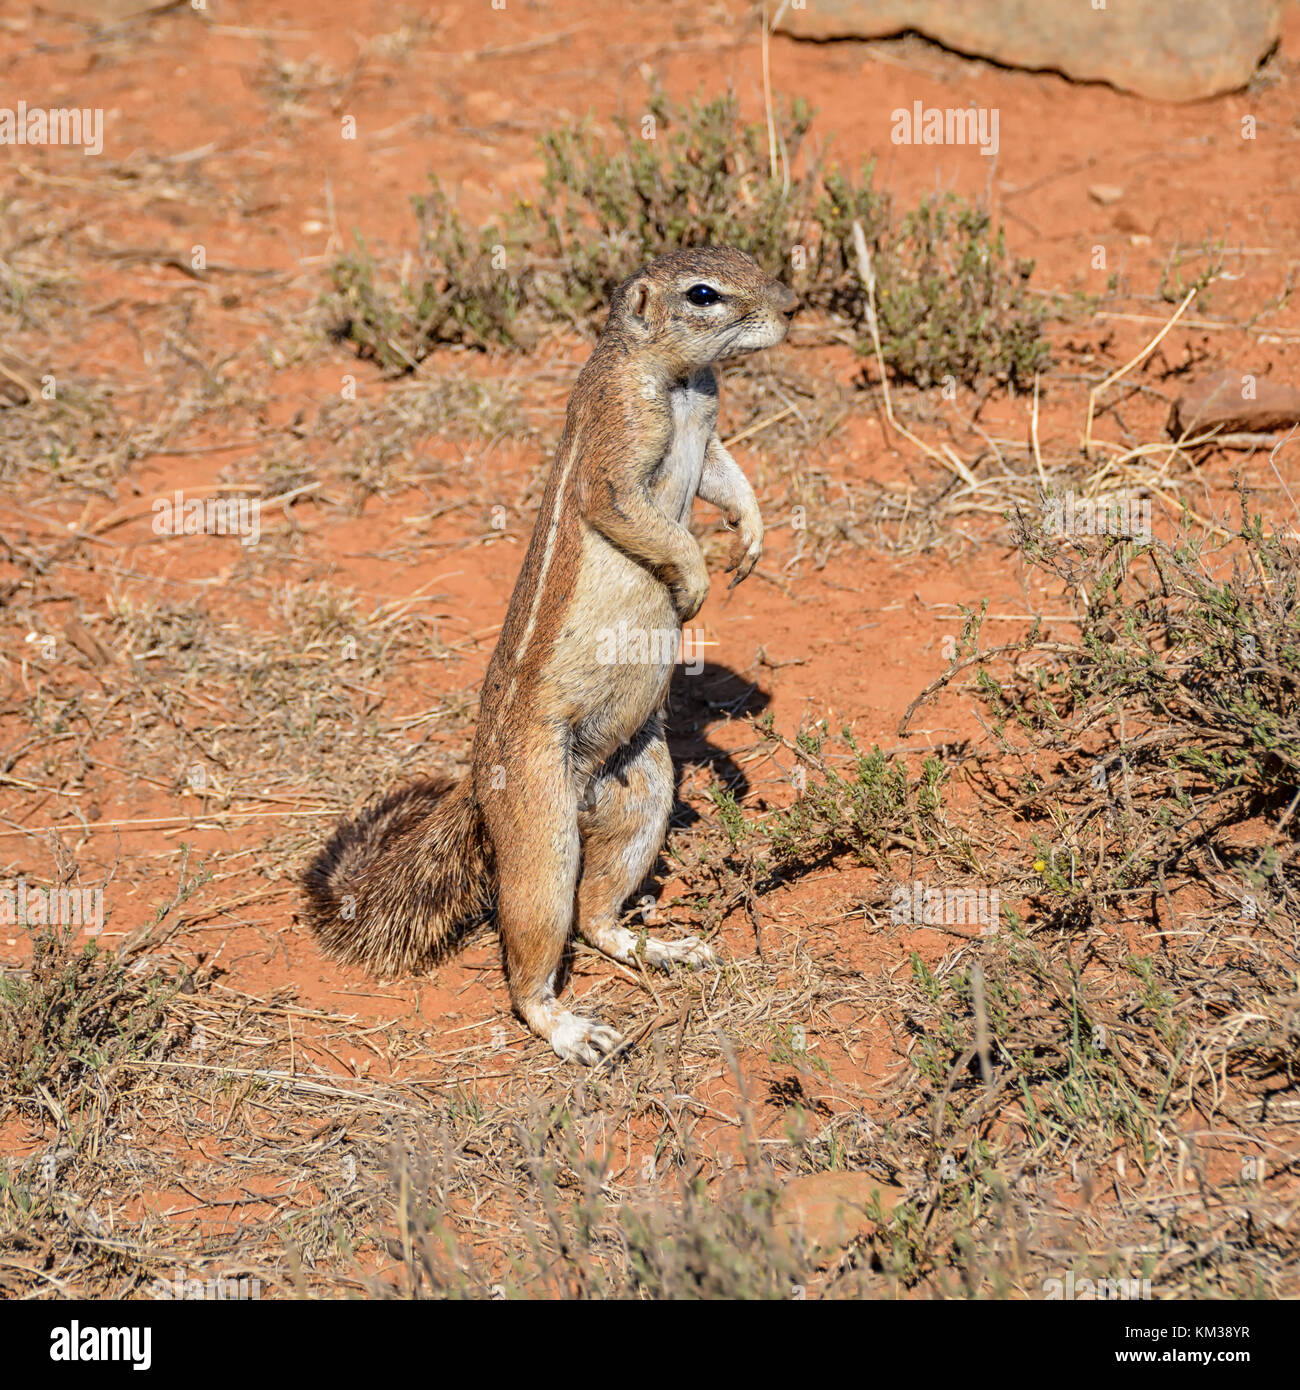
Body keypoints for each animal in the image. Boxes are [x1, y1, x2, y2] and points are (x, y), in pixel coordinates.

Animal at [304, 247, 798, 1063]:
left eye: (750, 260)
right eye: (704, 294)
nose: (791, 307)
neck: (678, 381)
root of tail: (478, 788)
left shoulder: (711, 431)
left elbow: (728, 477)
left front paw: (753, 537)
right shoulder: (618, 444)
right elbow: (635, 514)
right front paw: (695, 581)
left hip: (644, 789)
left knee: (597, 915)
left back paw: (655, 948)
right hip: (540, 826)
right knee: (534, 947)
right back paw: (570, 1028)